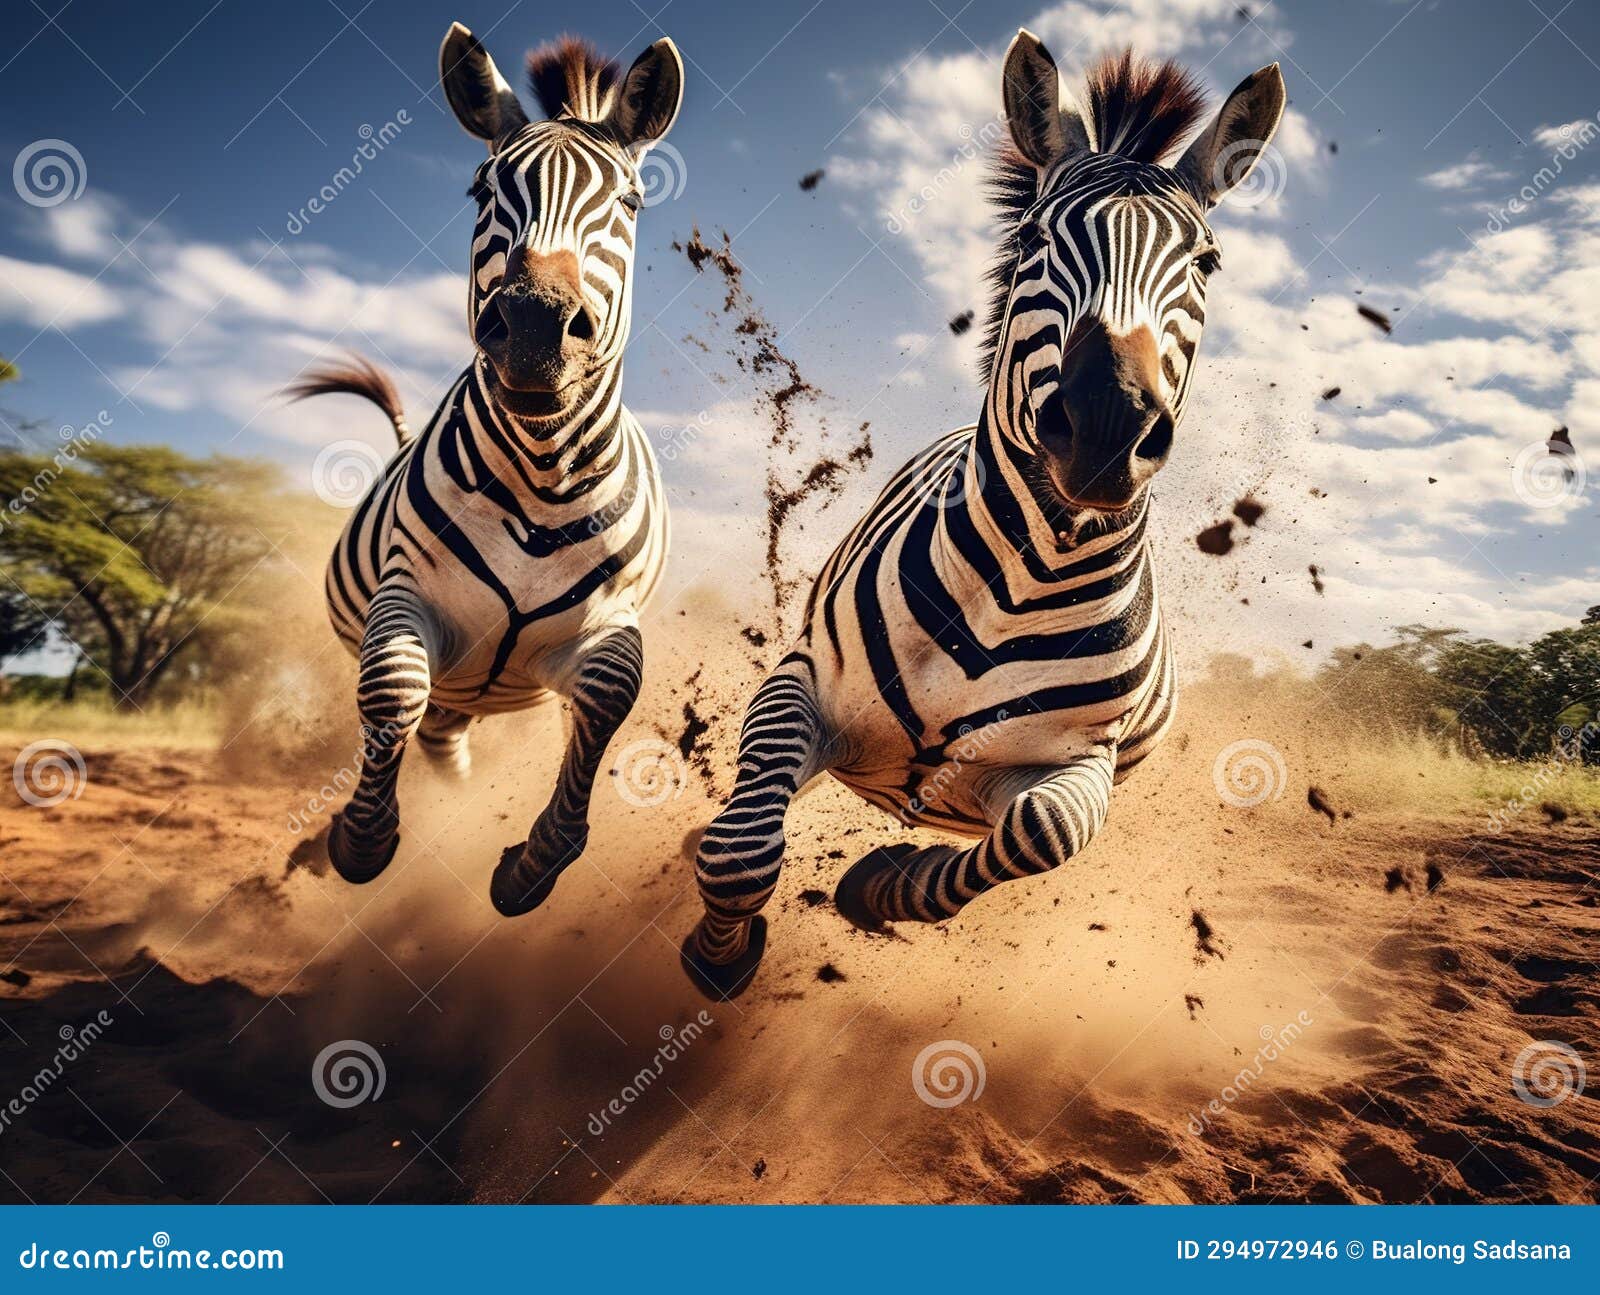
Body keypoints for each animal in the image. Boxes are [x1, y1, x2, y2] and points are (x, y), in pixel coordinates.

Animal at [286, 23, 683, 915]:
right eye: (480, 191)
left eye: (632, 203)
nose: (535, 328)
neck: (541, 474)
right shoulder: (408, 591)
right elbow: (390, 687)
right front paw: (358, 843)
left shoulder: (604, 626)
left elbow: (610, 697)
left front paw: (533, 866)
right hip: (455, 681)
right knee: (428, 726)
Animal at [681, 32, 1285, 998]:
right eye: (1037, 237)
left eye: (1207, 263)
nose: (1108, 426)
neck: (1021, 579)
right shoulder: (803, 680)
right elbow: (741, 848)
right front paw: (720, 950)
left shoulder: (1067, 765)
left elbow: (1042, 831)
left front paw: (877, 887)